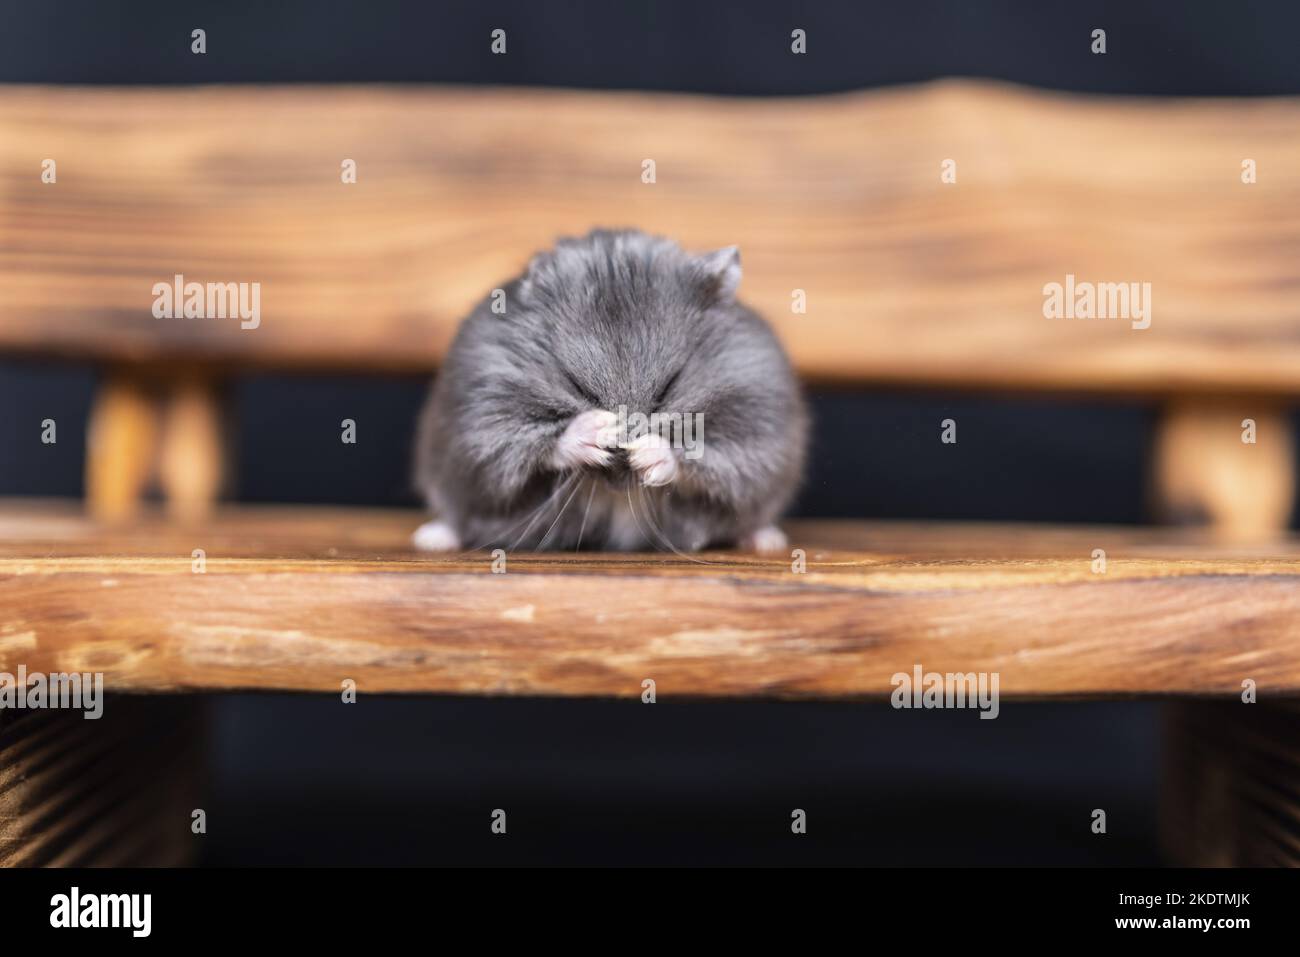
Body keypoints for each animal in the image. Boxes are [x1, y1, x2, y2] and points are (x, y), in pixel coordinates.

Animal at [412, 228, 807, 554]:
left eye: (671, 383)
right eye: (574, 383)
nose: (619, 479)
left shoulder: (751, 431)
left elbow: (700, 460)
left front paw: (647, 453)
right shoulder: (486, 422)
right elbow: (534, 449)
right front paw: (597, 430)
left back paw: (767, 540)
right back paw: (432, 538)